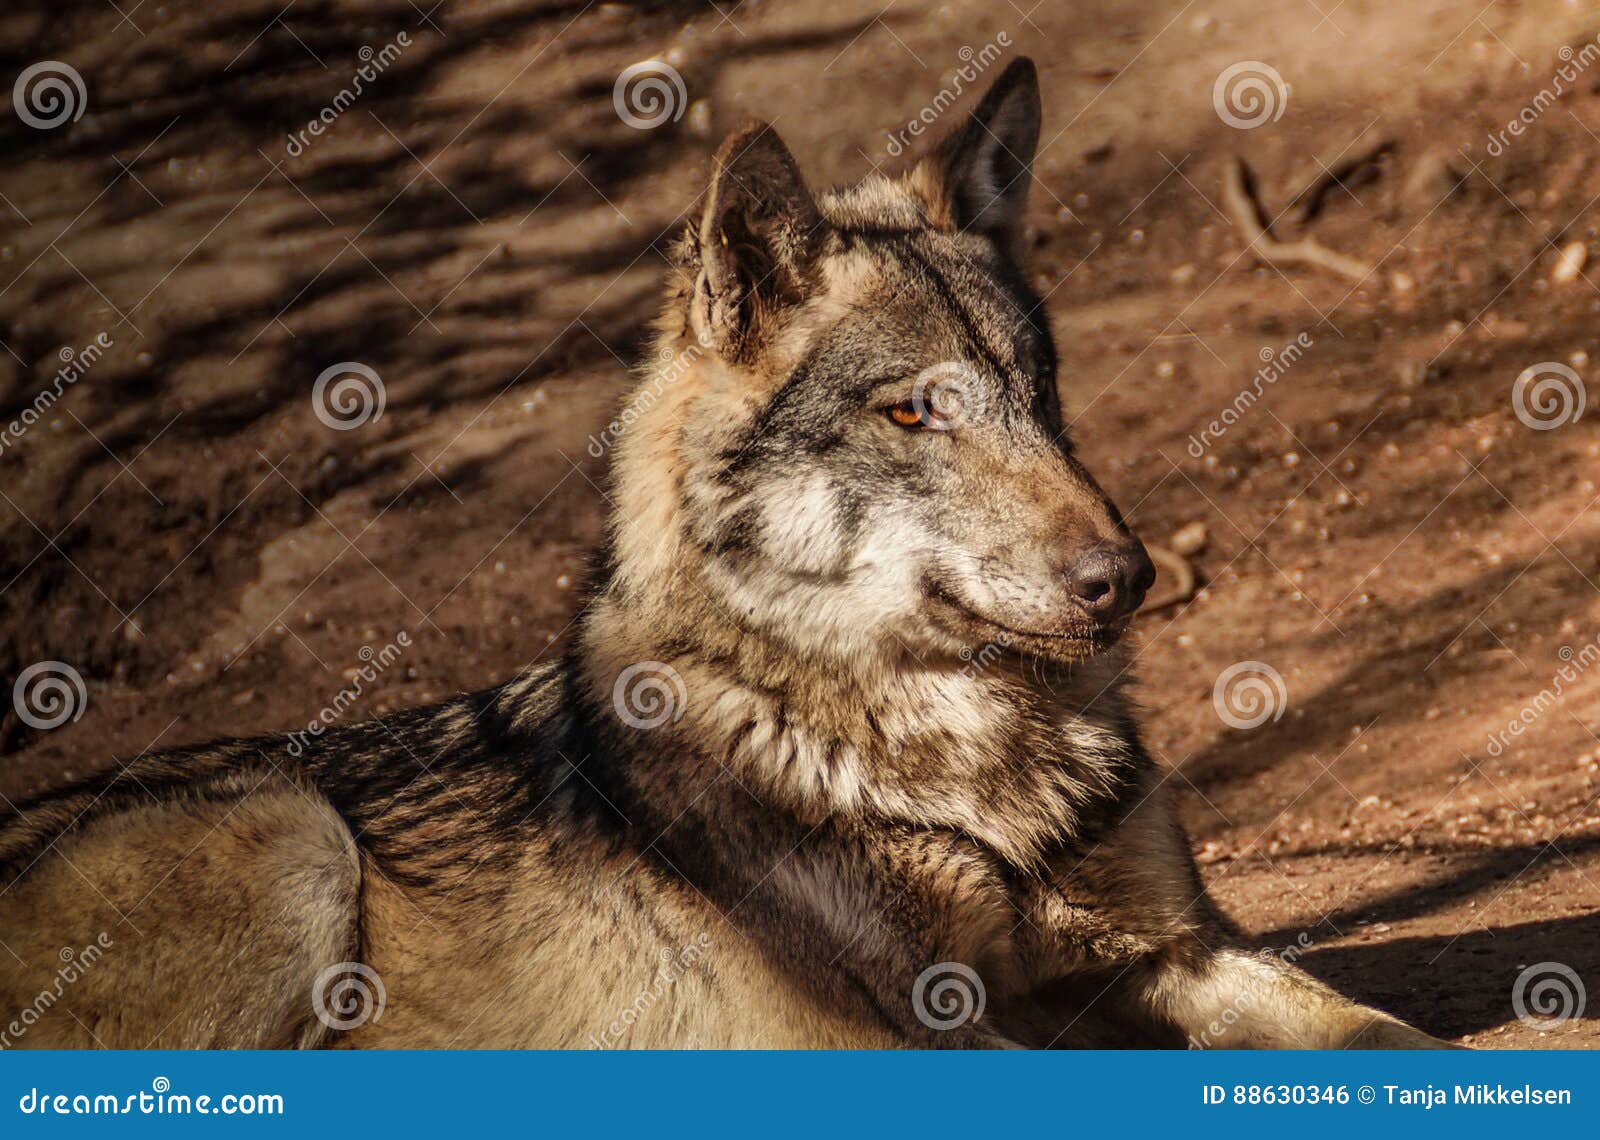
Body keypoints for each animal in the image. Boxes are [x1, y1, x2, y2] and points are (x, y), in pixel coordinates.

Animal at [0, 59, 1453, 1049]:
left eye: (1041, 395)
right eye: (914, 412)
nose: (1126, 579)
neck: (951, 758)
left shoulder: (1174, 949)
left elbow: (1382, 1033)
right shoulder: (918, 1024)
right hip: (296, 840)